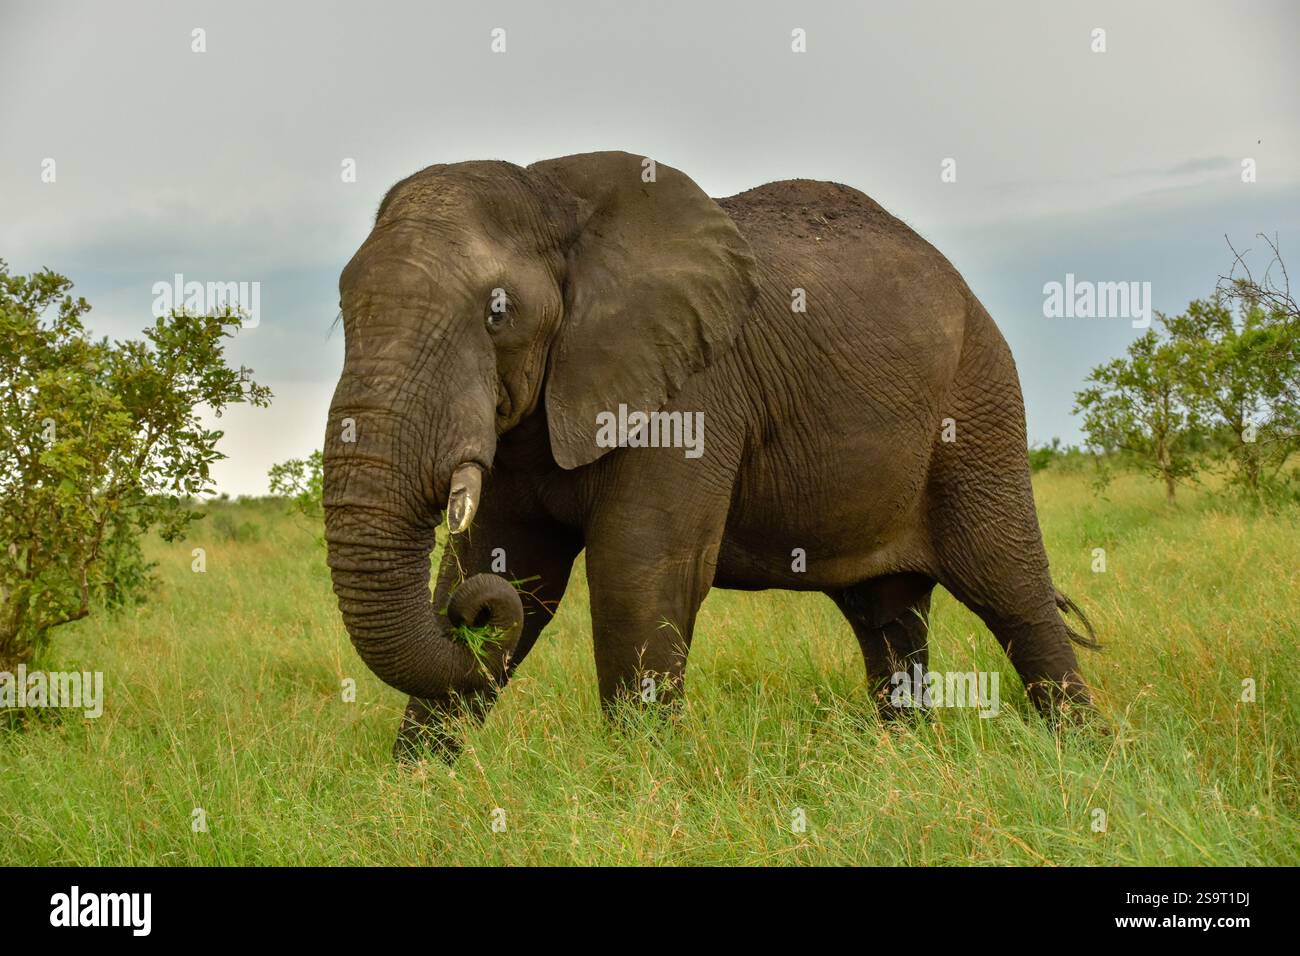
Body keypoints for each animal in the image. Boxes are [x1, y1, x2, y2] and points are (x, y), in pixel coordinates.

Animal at [322, 150, 1099, 760]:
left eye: (497, 313)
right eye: (342, 311)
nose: (474, 616)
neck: (554, 196)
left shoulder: (696, 391)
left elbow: (638, 575)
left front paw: (637, 794)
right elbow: (505, 565)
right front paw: (415, 790)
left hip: (979, 403)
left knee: (1010, 588)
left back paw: (1083, 761)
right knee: (887, 616)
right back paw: (904, 764)